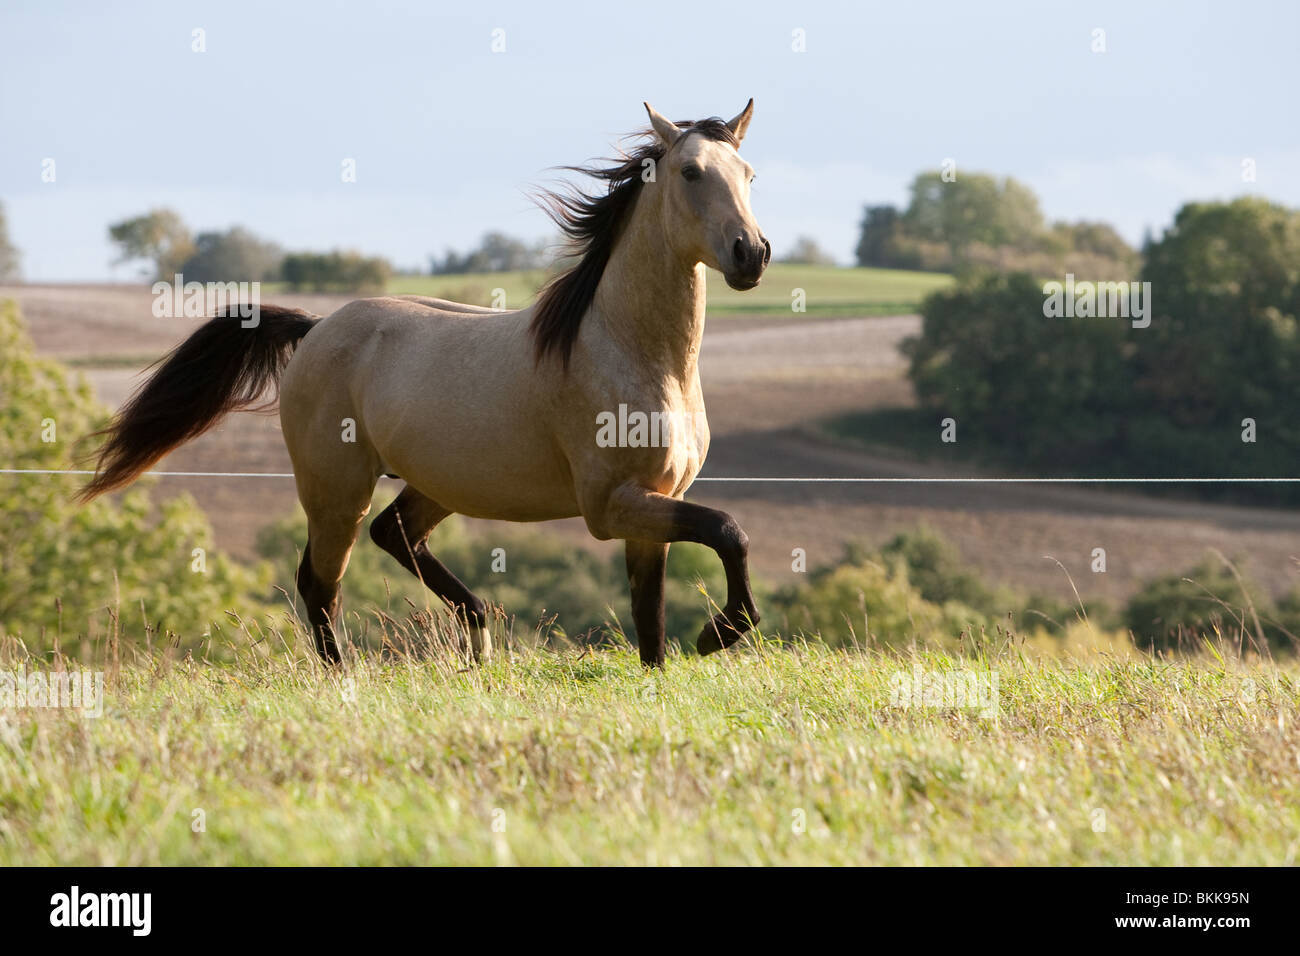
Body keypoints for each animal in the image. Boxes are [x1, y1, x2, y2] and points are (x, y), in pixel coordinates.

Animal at [80, 100, 771, 668]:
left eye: (748, 175)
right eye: (691, 173)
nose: (753, 254)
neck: (632, 352)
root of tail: (316, 327)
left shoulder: (652, 501)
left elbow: (650, 619)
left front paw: (673, 664)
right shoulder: (610, 504)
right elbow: (727, 530)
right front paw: (721, 633)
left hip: (437, 482)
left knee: (393, 536)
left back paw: (479, 632)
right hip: (337, 490)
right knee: (321, 582)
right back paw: (349, 676)